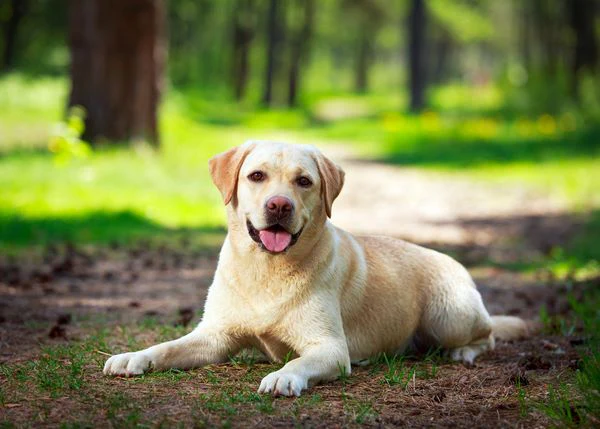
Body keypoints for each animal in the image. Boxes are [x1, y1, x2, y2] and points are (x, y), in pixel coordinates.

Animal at [104, 142, 528, 396]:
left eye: (304, 181)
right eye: (256, 176)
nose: (279, 205)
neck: (267, 270)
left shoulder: (329, 347)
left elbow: (299, 359)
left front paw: (283, 375)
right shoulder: (214, 336)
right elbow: (167, 346)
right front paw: (134, 356)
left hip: (449, 316)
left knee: (488, 335)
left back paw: (465, 352)